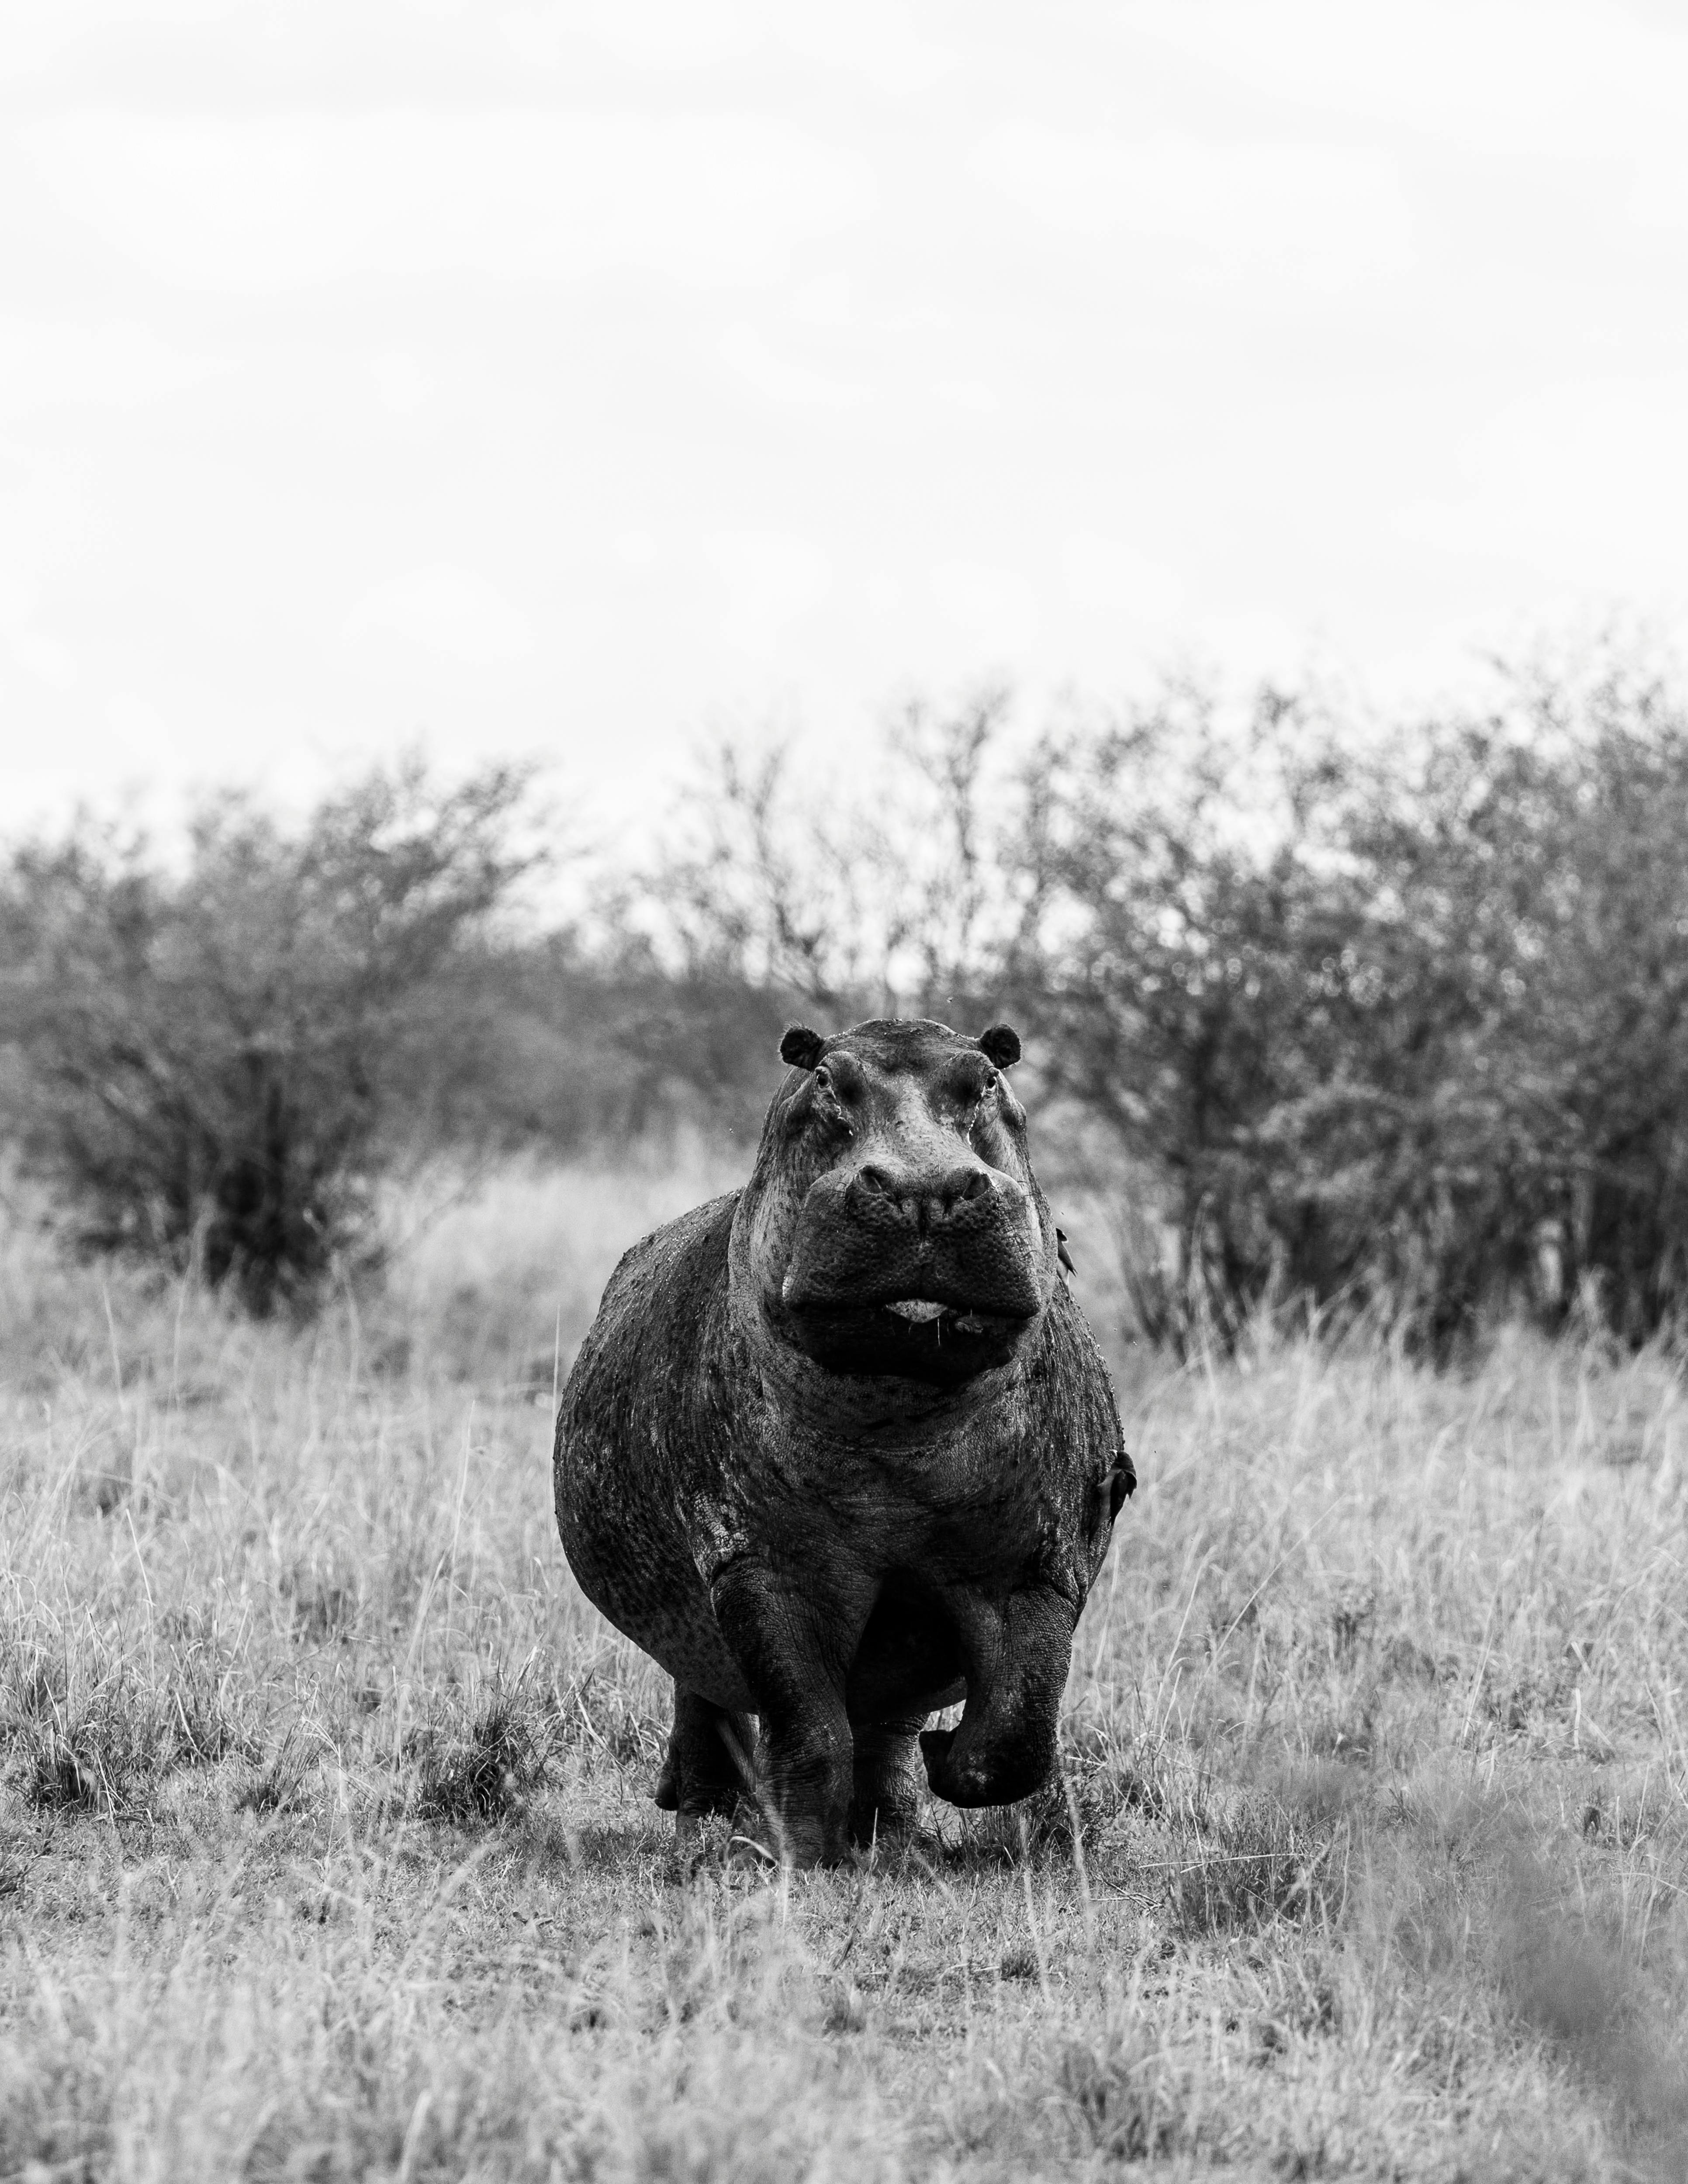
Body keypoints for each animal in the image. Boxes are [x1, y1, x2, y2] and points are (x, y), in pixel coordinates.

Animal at [553, 1017, 1133, 1865]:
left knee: (887, 1731)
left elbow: (1017, 1731)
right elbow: (808, 1725)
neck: (901, 1422)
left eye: (988, 1078)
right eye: (827, 1081)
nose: (925, 1189)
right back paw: (706, 1819)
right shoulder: (763, 1567)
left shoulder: (1040, 1563)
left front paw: (938, 1766)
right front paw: (786, 1856)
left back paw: (891, 1837)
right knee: (711, 1704)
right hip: (700, 1628)